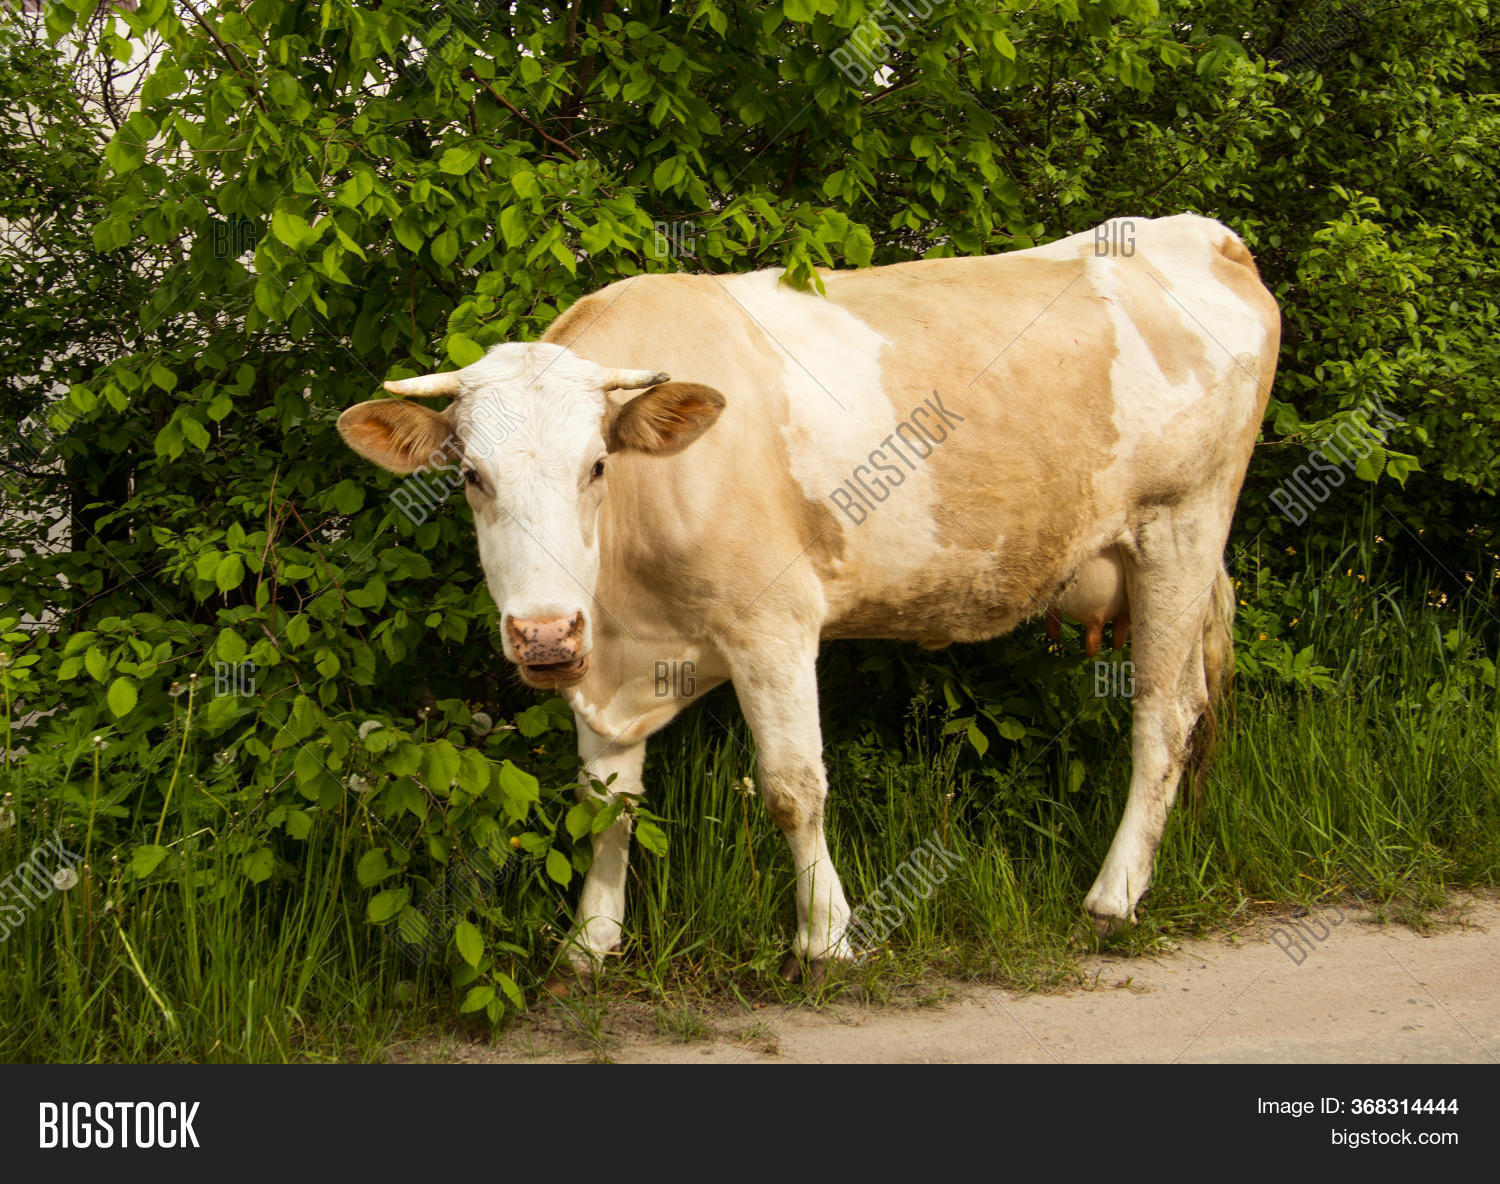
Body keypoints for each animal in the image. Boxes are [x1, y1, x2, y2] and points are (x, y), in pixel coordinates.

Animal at [337, 213, 1279, 978]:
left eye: (596, 466)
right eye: (471, 476)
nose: (541, 635)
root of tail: (1199, 232)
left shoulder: (774, 624)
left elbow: (794, 786)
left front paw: (827, 939)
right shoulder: (605, 654)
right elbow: (606, 800)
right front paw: (589, 945)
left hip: (1180, 526)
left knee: (1163, 716)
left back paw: (1115, 894)